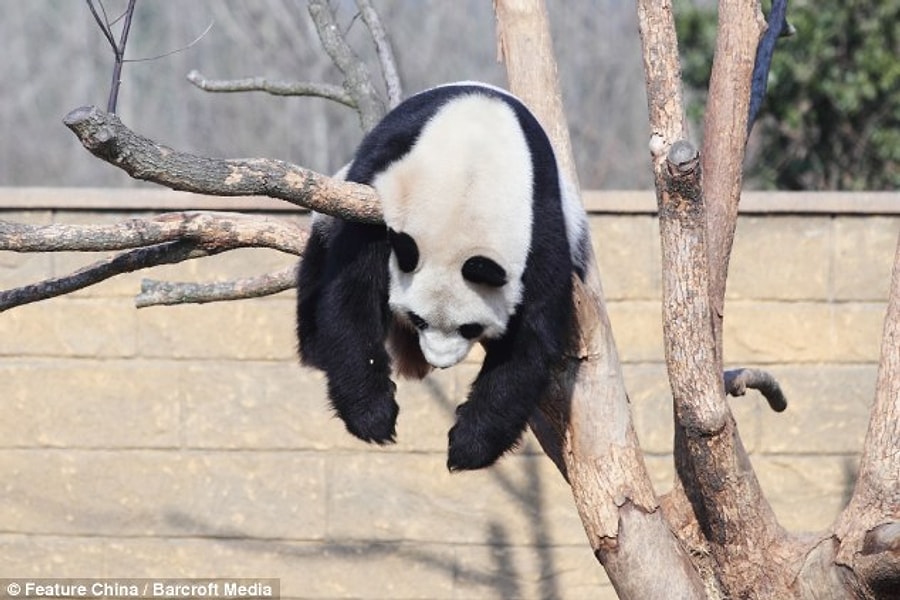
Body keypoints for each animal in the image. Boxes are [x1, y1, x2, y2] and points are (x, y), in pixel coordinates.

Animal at [297, 82, 589, 471]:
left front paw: (468, 445)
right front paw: (373, 416)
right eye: (418, 319)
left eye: (470, 328)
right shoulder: (379, 198)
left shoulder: (539, 223)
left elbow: (530, 338)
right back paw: (315, 347)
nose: (439, 360)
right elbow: (351, 292)